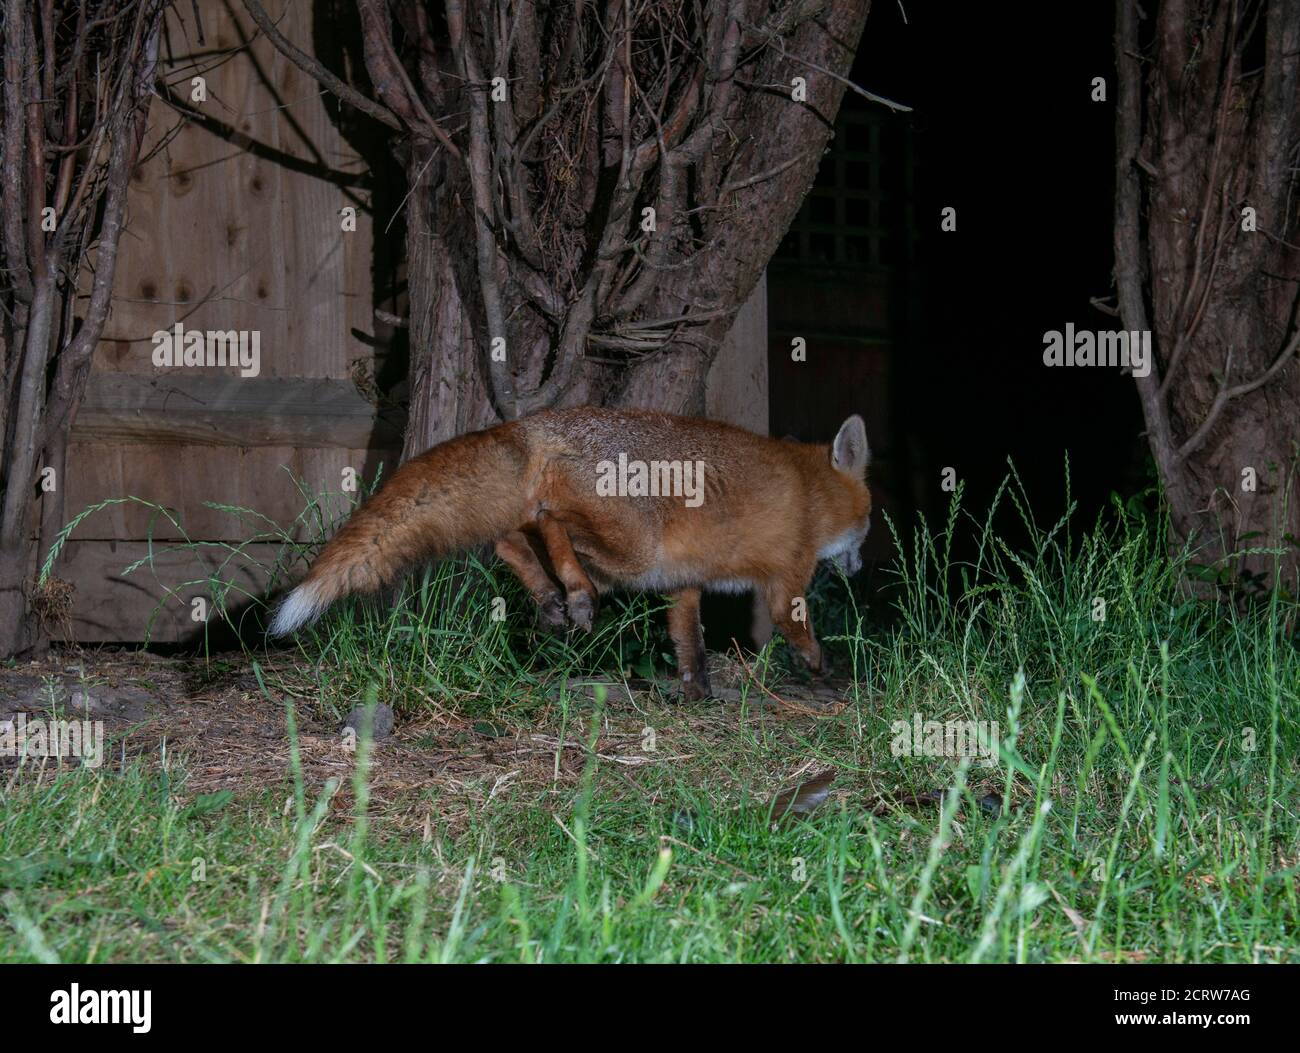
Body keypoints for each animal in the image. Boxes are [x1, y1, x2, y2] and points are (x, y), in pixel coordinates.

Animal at [267, 408, 868, 696]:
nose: (860, 567)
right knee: (549, 525)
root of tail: (534, 422)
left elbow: (689, 642)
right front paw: (824, 669)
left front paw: (696, 691)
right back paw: (574, 597)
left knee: (511, 536)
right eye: (866, 527)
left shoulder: (682, 583)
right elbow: (795, 627)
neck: (813, 495)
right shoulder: (788, 576)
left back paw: (551, 599)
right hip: (633, 552)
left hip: (624, 556)